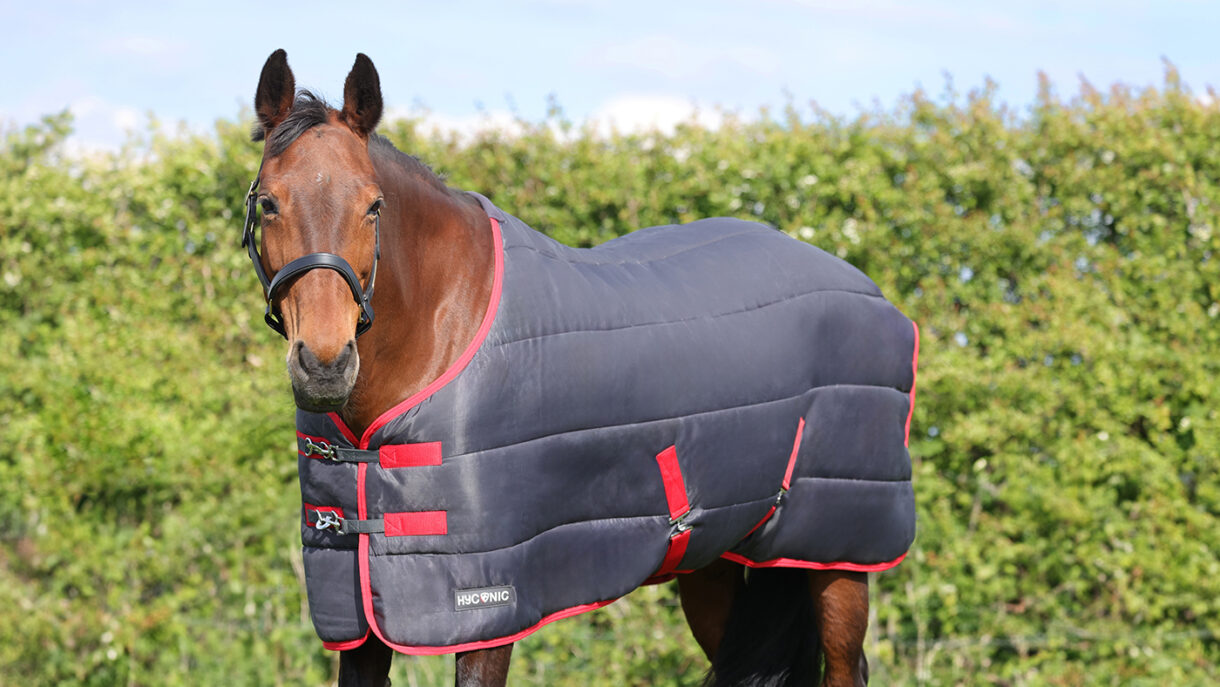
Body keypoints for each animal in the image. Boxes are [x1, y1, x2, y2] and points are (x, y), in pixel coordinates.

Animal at [244, 49, 916, 687]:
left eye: (373, 205)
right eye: (268, 203)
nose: (325, 364)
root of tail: (871, 291)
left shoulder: (493, 606)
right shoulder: (360, 617)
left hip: (839, 556)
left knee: (844, 664)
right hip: (716, 562)